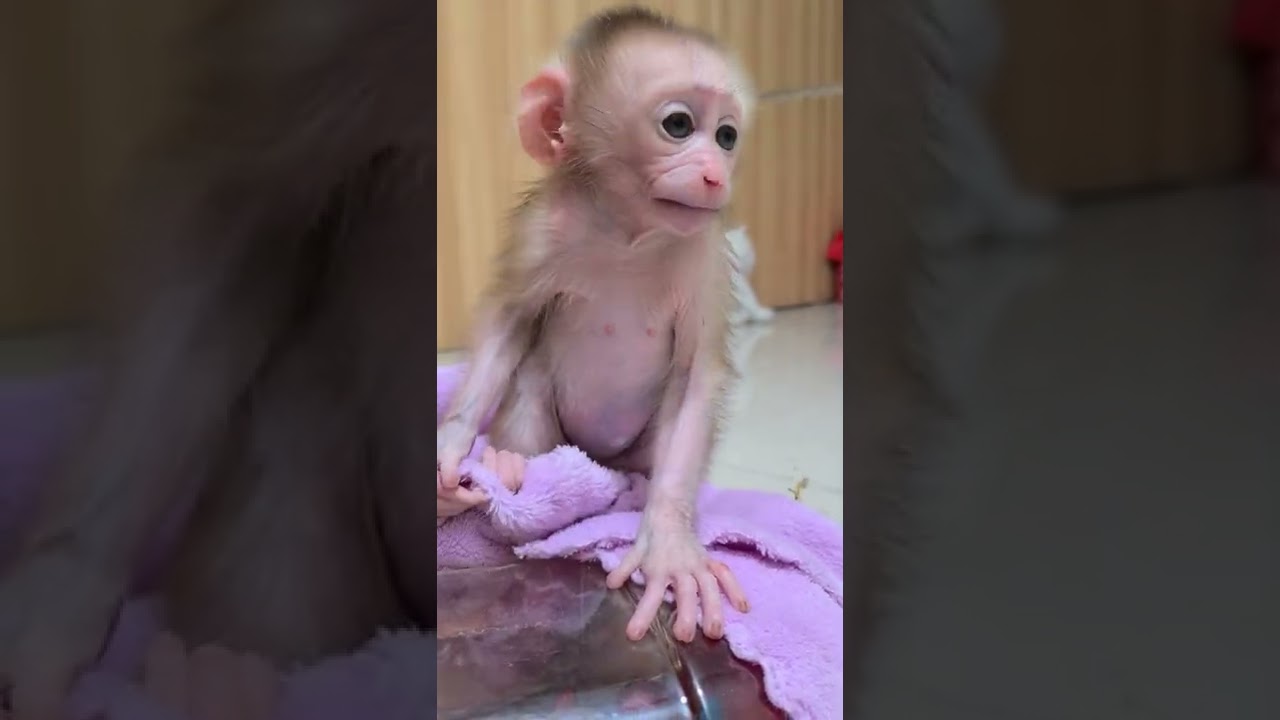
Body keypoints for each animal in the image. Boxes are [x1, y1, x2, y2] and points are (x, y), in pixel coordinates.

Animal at [436, 7, 754, 647]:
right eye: (679, 124)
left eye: (727, 136)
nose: (715, 174)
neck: (627, 232)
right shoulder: (540, 232)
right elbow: (508, 324)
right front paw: (451, 448)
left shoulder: (703, 255)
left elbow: (697, 376)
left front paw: (670, 546)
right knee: (530, 406)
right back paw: (507, 467)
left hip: (636, 456)